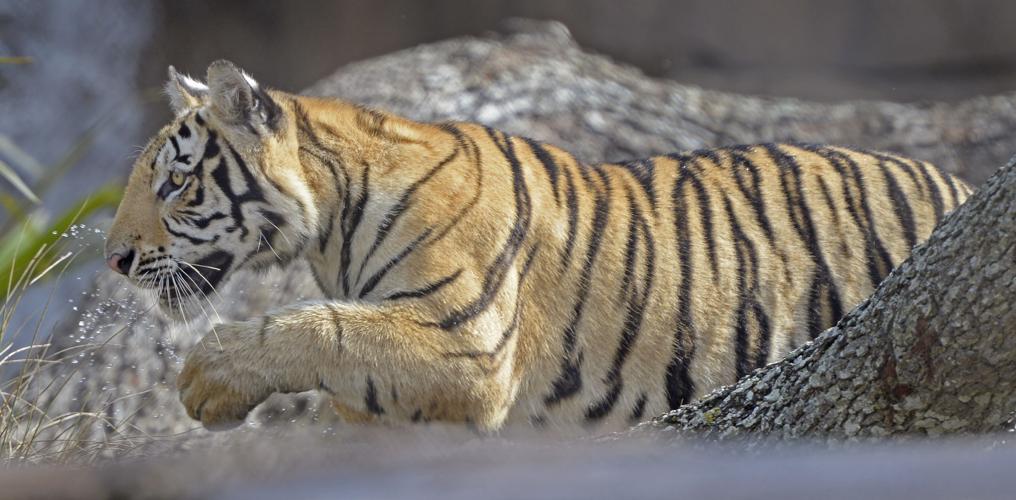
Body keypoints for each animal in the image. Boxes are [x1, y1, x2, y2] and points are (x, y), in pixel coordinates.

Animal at [104, 60, 971, 432]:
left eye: (175, 183)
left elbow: (322, 326)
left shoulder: (466, 343)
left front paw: (209, 382)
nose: (114, 258)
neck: (330, 227)